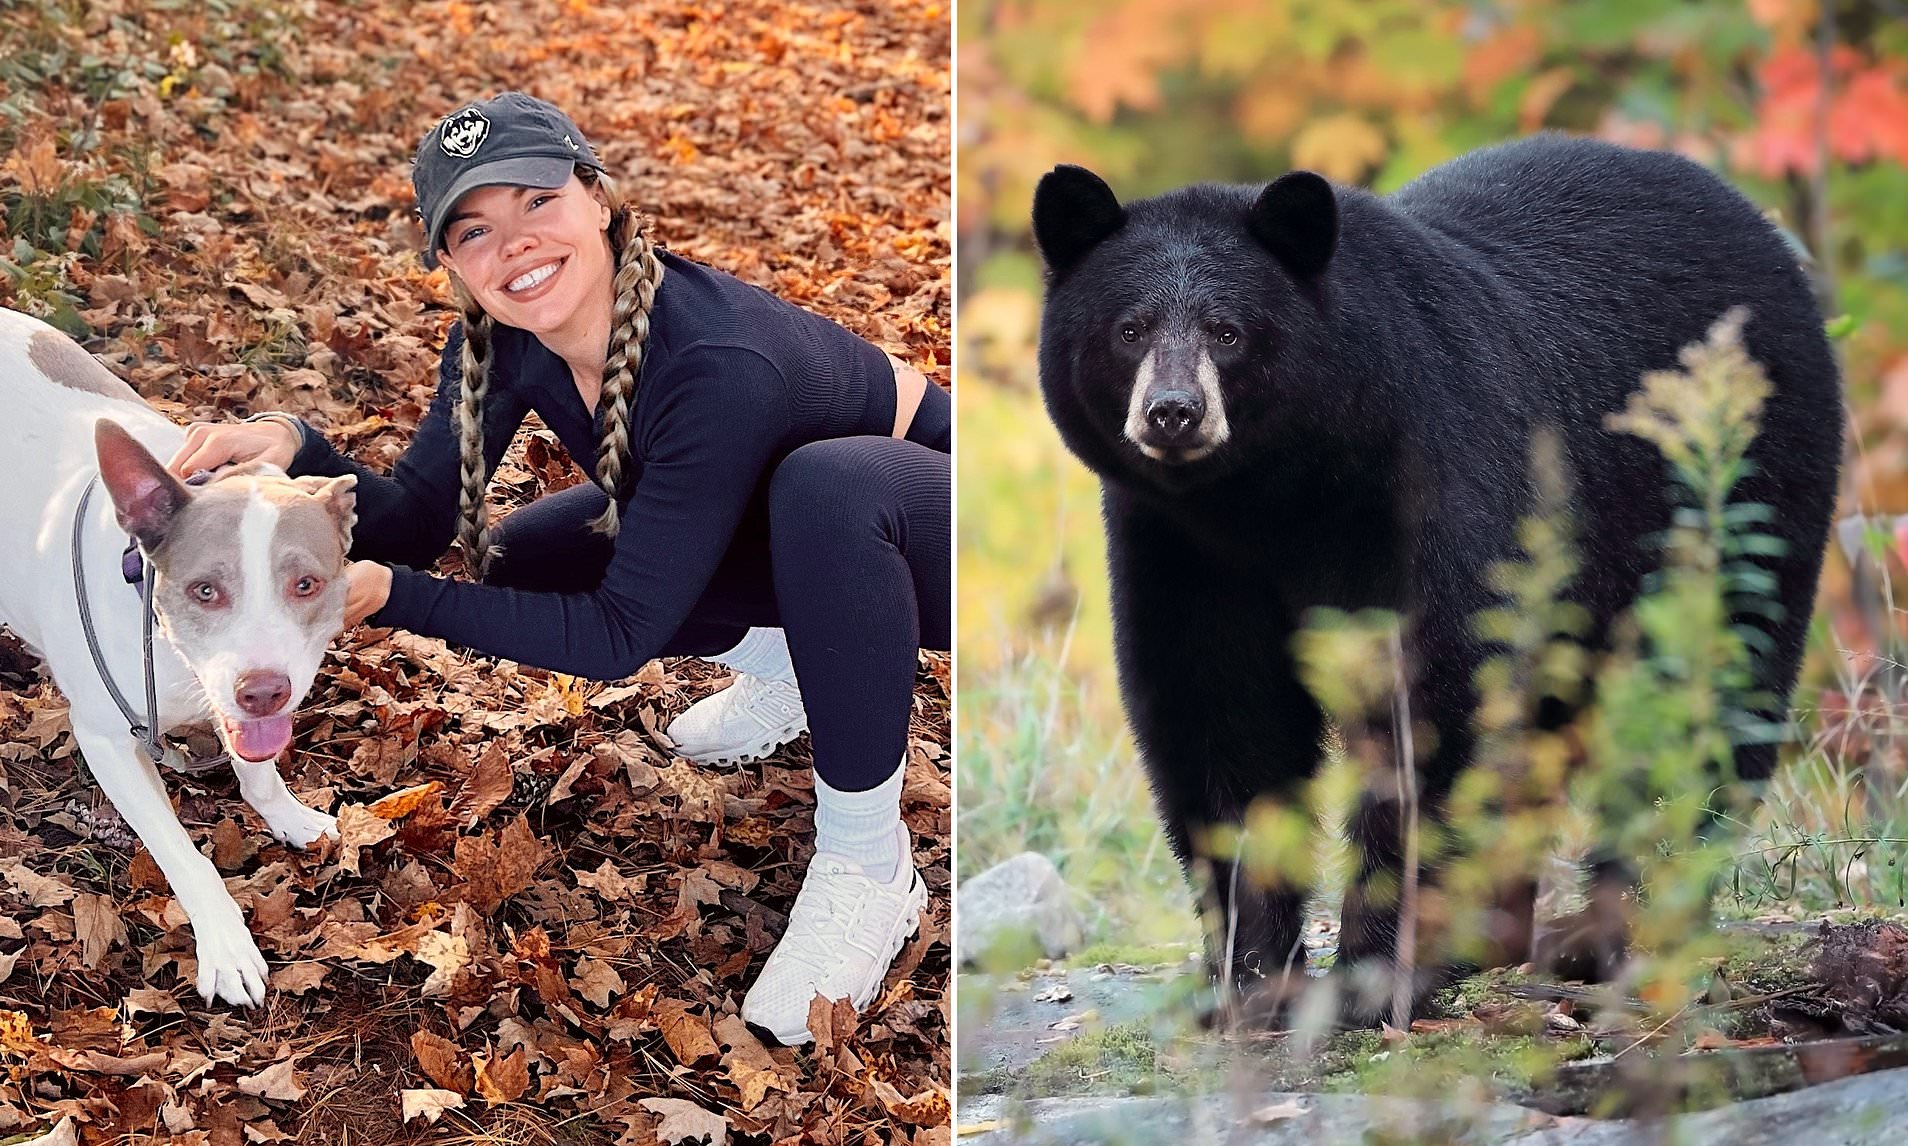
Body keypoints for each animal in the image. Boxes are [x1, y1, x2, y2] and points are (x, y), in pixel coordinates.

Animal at [1029, 133, 1843, 1025]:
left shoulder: (1436, 477)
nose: (1174, 411)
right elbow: (1219, 715)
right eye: (1129, 328)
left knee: (1706, 688)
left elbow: (1440, 701)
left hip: (1735, 490)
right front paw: (1248, 977)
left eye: (1229, 330)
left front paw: (1378, 971)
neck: (1277, 492)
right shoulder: (1181, 546)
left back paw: (1622, 927)